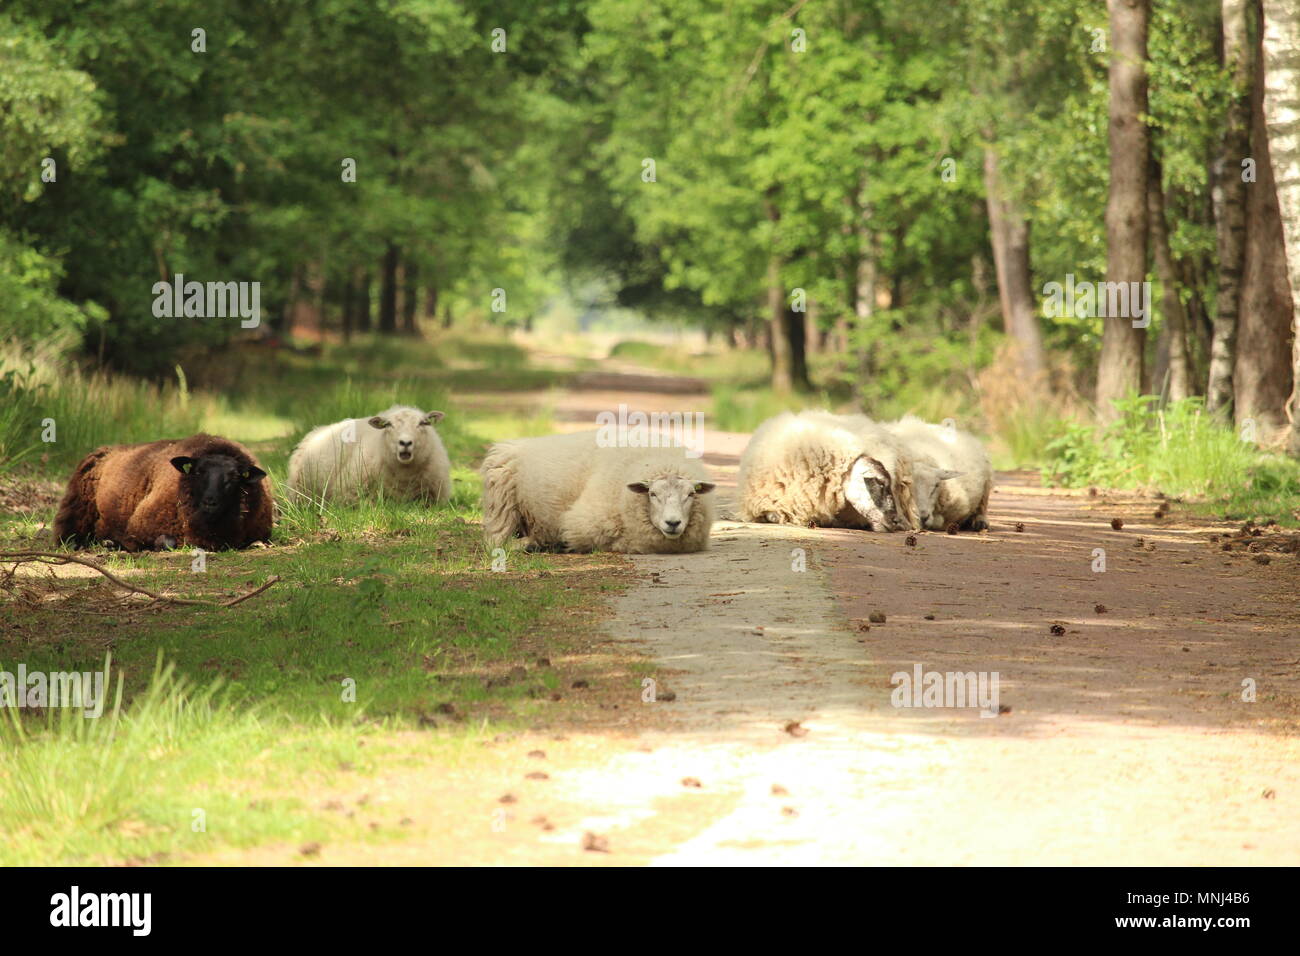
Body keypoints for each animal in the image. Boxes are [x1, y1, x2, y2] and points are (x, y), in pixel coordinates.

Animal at [53, 434, 273, 551]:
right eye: (198, 472)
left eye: (235, 477)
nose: (210, 502)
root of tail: (106, 449)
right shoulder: (138, 528)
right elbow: (166, 542)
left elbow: (258, 542)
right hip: (77, 511)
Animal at [286, 405, 451, 503]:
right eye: (388, 425)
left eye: (423, 423)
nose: (405, 443)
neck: (405, 475)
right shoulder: (347, 495)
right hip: (300, 491)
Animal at [480, 430, 716, 554]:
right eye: (652, 494)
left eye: (691, 494)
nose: (673, 523)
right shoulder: (583, 522)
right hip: (501, 506)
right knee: (496, 540)